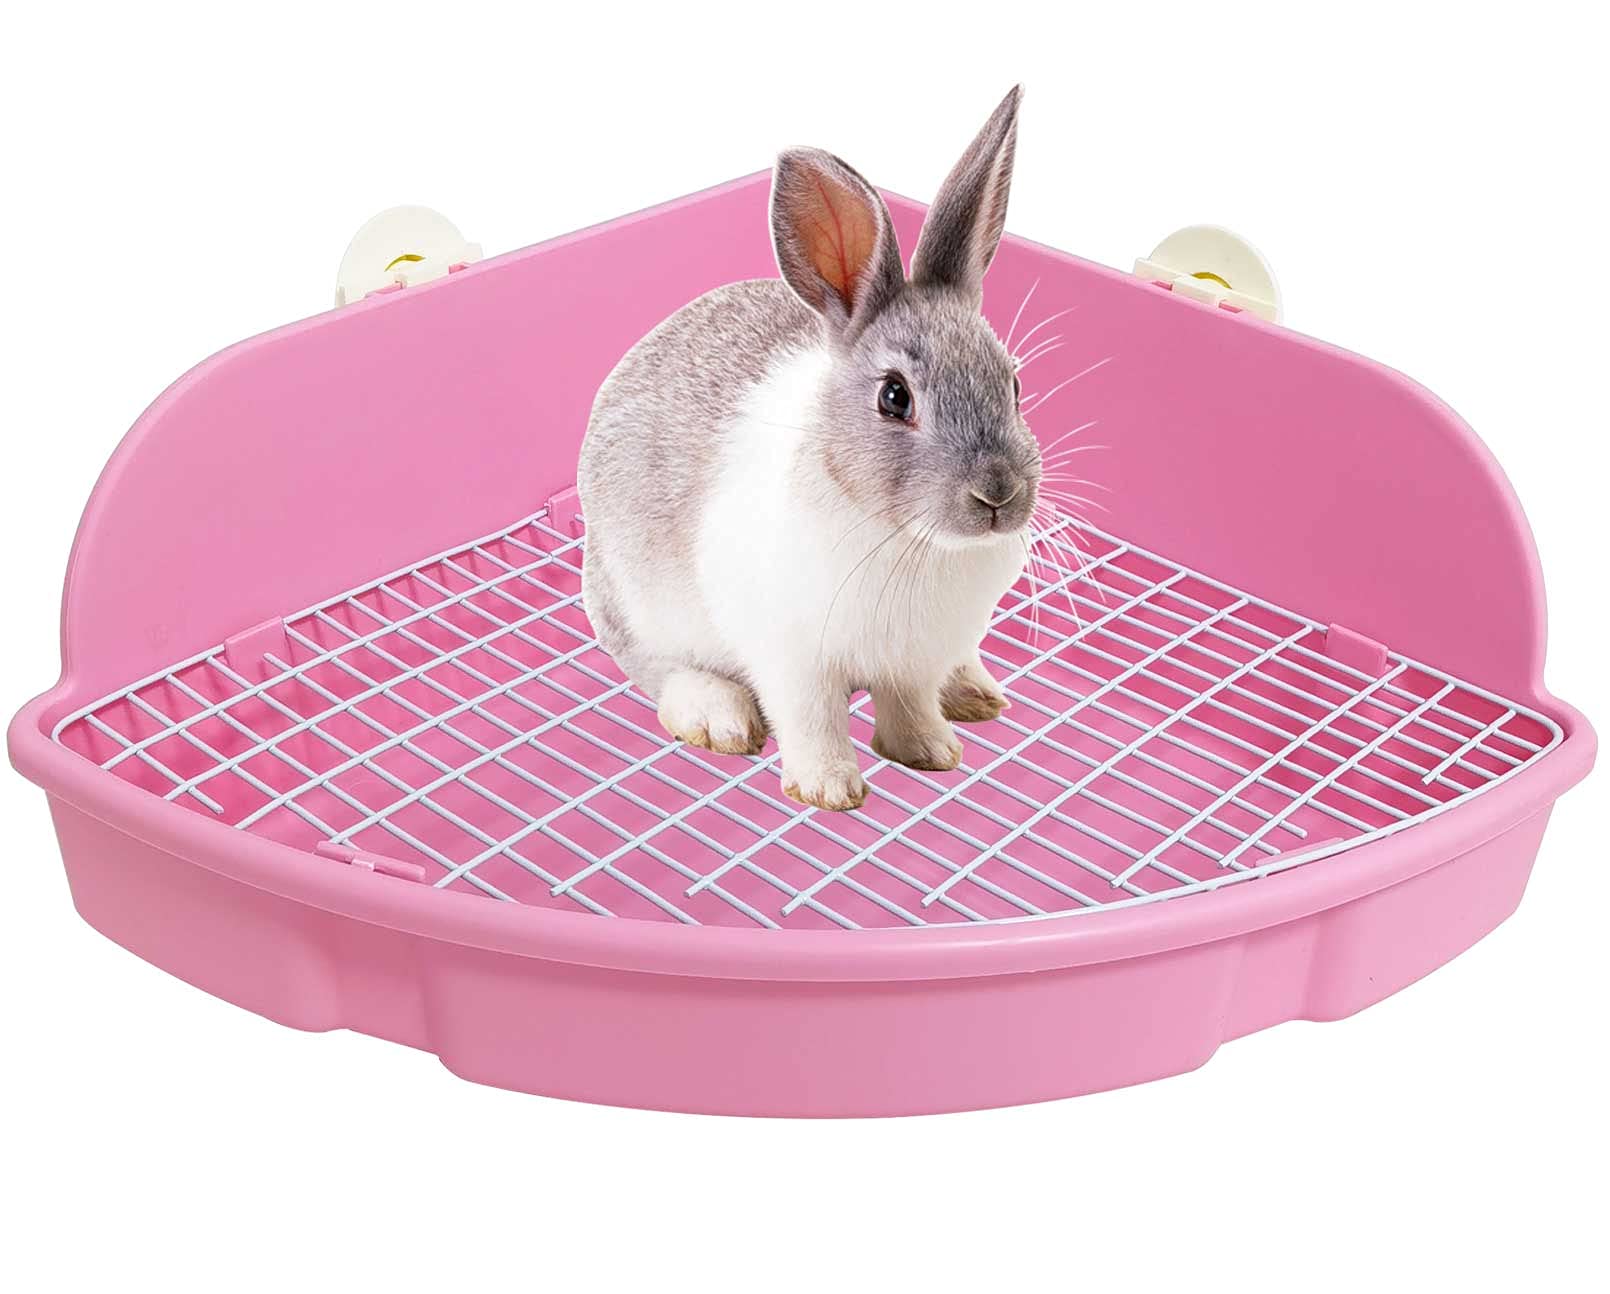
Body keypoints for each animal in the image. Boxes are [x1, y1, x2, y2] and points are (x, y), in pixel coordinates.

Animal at [577, 86, 1039, 811]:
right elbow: (812, 718)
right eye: (894, 397)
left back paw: (973, 693)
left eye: (1015, 384)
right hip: (637, 605)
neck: (910, 541)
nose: (998, 494)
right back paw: (718, 717)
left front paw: (932, 752)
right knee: (657, 669)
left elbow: (909, 705)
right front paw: (829, 790)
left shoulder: (914, 660)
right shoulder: (793, 657)